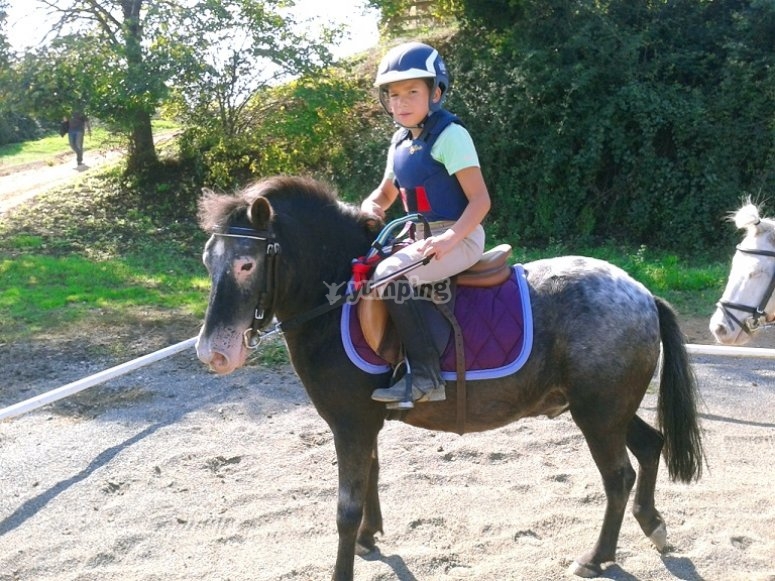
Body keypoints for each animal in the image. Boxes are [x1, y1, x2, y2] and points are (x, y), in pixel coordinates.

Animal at [195, 175, 704, 580]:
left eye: (246, 264)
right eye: (207, 262)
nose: (212, 353)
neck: (336, 299)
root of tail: (641, 292)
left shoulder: (350, 424)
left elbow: (345, 509)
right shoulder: (366, 423)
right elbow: (372, 475)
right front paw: (370, 537)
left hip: (598, 414)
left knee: (618, 476)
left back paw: (596, 557)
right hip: (610, 409)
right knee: (650, 446)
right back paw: (653, 525)